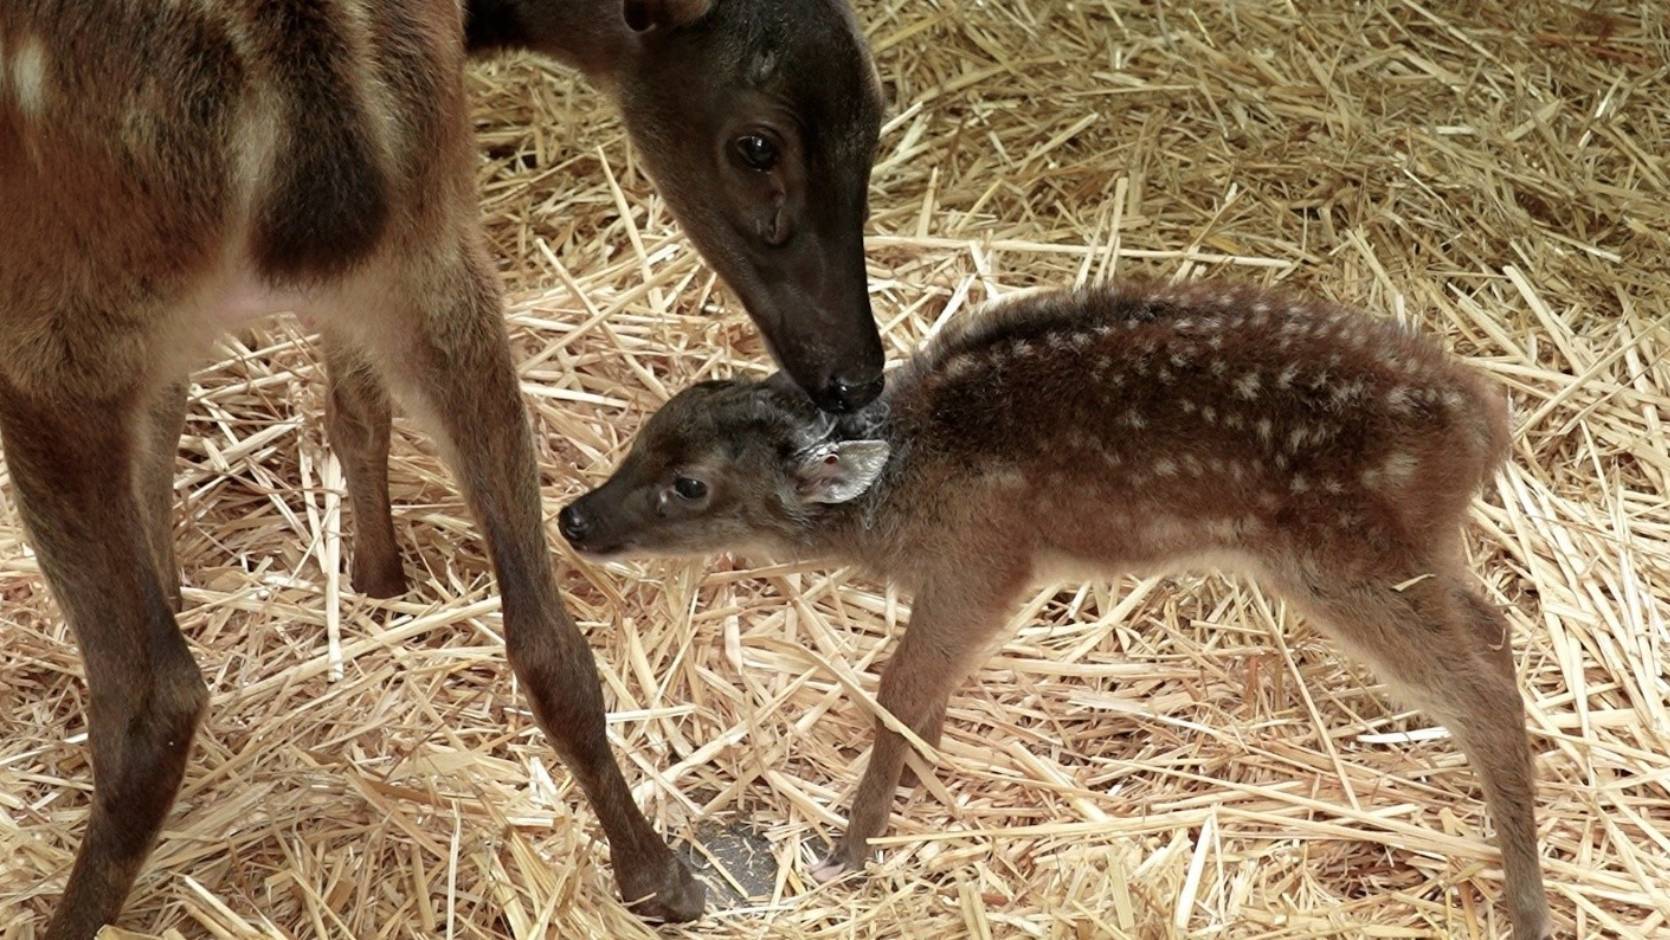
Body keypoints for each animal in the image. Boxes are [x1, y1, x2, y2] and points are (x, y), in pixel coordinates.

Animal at [0, 0, 886, 935]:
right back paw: (661, 877)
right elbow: (346, 407)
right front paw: (379, 581)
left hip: (63, 336)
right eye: (757, 146)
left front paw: (197, 584)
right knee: (548, 635)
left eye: (875, 121)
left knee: (152, 696)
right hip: (439, 273)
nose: (855, 375)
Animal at [561, 280, 1554, 938]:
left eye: (691, 485)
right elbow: (926, 693)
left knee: (1478, 690)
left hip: (1341, 558)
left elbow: (899, 689)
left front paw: (849, 849)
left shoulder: (983, 558)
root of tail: (1484, 425)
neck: (904, 488)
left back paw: (1527, 906)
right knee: (1495, 625)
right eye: (647, 433)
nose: (574, 518)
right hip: (1412, 550)